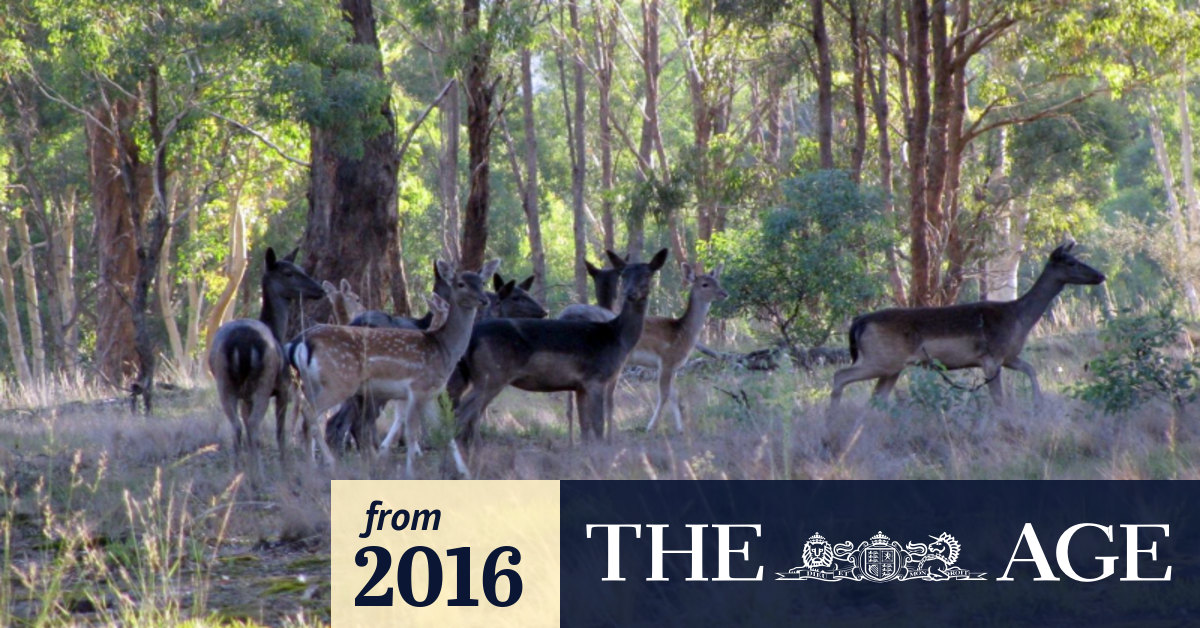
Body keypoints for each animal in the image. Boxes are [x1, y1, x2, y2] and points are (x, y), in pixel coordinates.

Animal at [207, 247, 324, 467]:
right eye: (288, 273)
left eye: (302, 269)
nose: (320, 289)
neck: (277, 331)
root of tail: (241, 343)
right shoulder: (283, 388)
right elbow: (280, 433)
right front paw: (284, 465)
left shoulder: (245, 397)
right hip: (264, 379)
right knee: (254, 425)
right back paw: (258, 472)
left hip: (224, 381)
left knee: (237, 427)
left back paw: (238, 469)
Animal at [288, 259, 499, 476]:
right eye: (461, 284)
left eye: (482, 282)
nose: (484, 300)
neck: (443, 348)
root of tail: (301, 344)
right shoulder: (418, 387)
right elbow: (411, 432)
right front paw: (410, 472)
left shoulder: (430, 393)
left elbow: (446, 429)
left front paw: (465, 472)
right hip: (339, 382)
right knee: (314, 414)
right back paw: (329, 463)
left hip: (312, 383)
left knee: (308, 417)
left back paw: (311, 465)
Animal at [452, 249, 669, 475]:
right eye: (624, 275)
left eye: (648, 275)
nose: (630, 293)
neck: (617, 337)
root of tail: (471, 338)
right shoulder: (597, 378)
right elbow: (598, 425)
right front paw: (602, 464)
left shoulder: (581, 386)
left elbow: (585, 425)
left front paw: (587, 462)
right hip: (491, 375)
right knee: (463, 412)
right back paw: (466, 467)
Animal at [630, 262, 729, 433]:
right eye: (705, 284)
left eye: (718, 281)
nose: (724, 293)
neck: (684, 333)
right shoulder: (666, 361)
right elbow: (664, 394)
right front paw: (650, 427)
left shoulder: (675, 367)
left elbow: (674, 394)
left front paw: (680, 428)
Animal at [829, 241, 1106, 408]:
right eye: (1071, 262)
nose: (1100, 275)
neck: (1019, 319)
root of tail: (859, 322)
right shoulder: (991, 357)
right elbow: (999, 398)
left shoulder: (1008, 356)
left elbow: (1031, 369)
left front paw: (1039, 402)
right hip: (881, 359)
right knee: (840, 375)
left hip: (892, 367)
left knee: (875, 397)